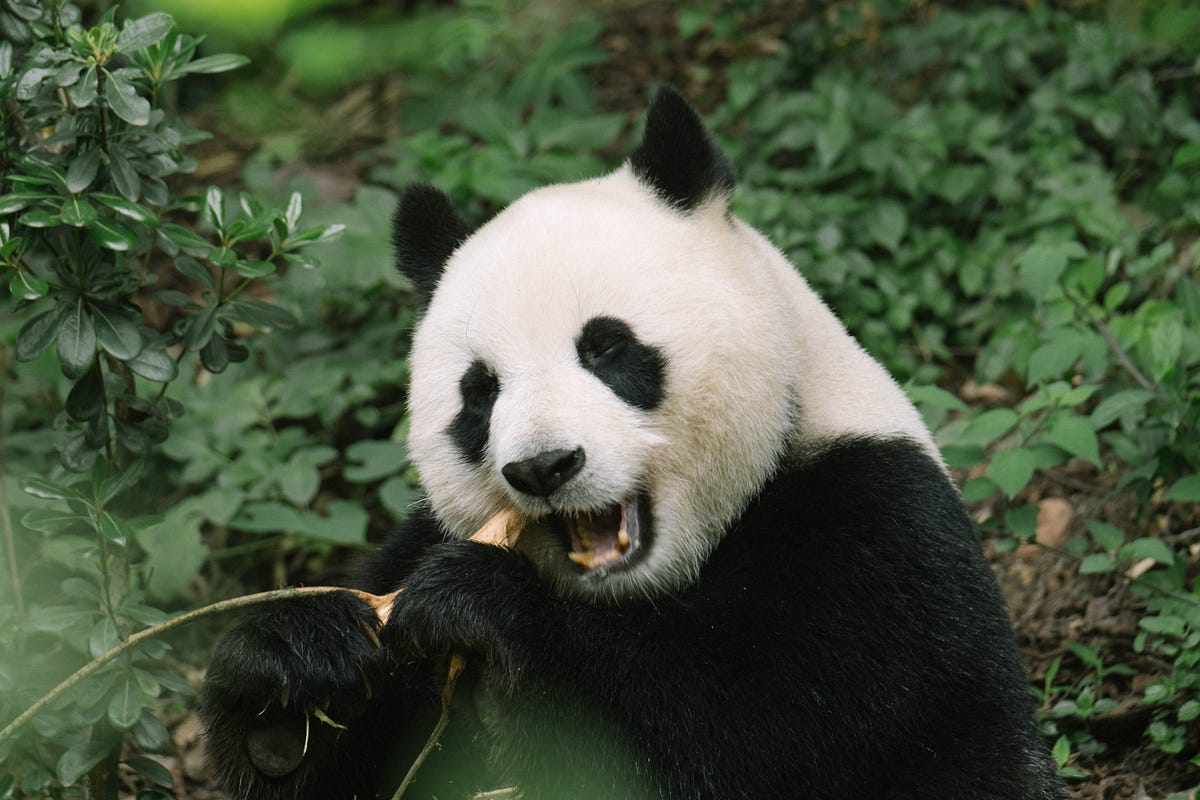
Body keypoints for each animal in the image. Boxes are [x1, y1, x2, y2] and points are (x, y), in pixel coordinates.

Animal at [200, 87, 1066, 800]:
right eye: (480, 393)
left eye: (608, 348)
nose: (544, 467)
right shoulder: (413, 550)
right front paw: (292, 671)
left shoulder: (875, 534)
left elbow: (756, 738)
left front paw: (485, 603)